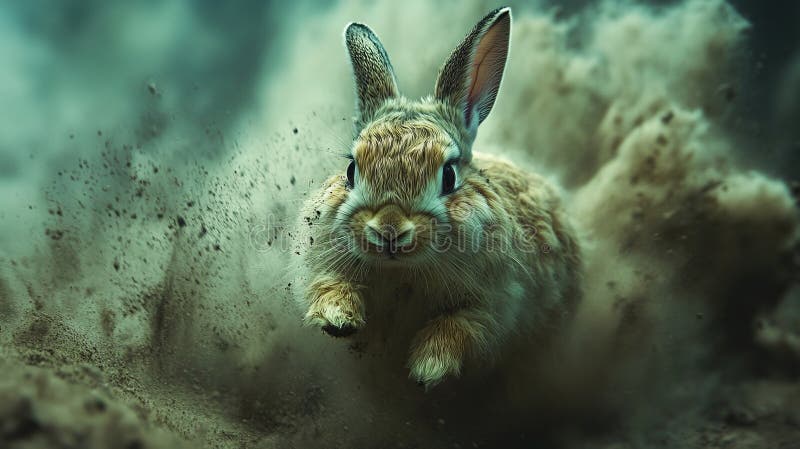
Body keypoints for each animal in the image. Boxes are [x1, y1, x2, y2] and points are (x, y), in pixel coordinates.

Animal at [296, 7, 582, 389]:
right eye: (351, 170)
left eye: (449, 176)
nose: (389, 230)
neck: (401, 271)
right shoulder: (321, 262)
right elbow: (328, 285)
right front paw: (338, 319)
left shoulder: (499, 305)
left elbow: (461, 326)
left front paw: (428, 367)